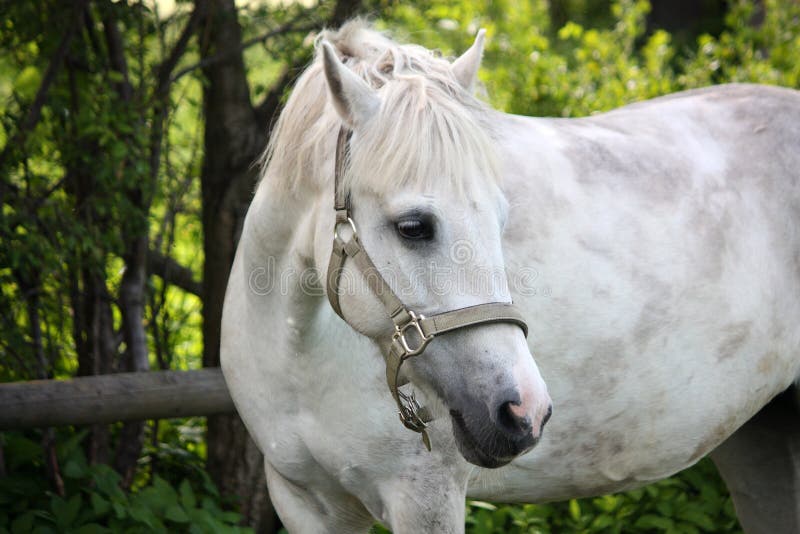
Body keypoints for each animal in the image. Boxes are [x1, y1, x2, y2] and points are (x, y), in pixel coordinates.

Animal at [220, 20, 800, 533]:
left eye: (502, 219)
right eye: (413, 227)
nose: (525, 411)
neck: (300, 351)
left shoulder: (425, 499)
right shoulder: (303, 502)